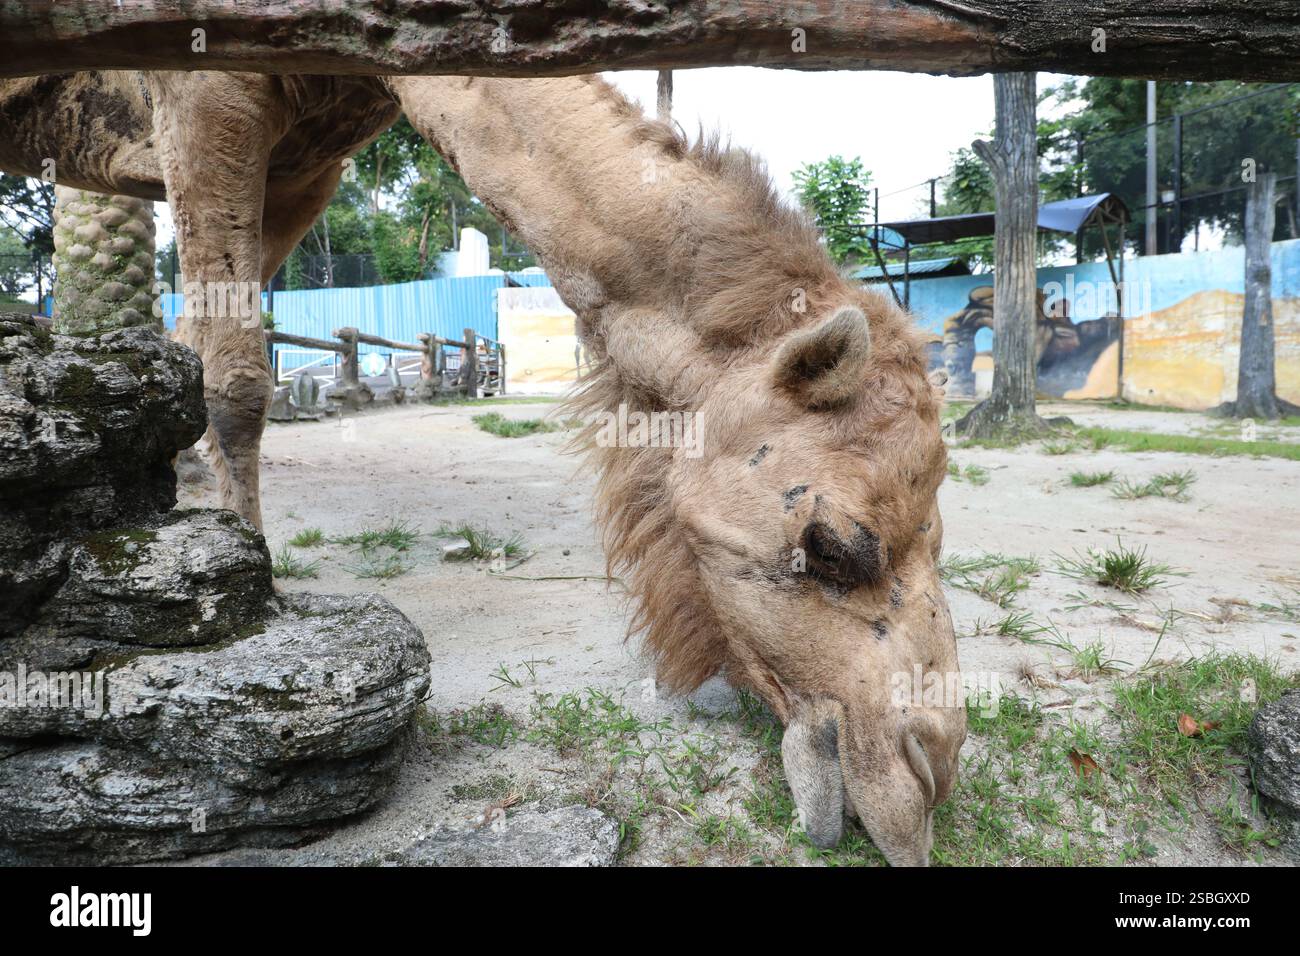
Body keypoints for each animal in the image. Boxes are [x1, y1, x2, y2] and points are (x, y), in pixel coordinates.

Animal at [0, 71, 964, 865]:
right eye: (831, 544)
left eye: (940, 534)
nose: (931, 772)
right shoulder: (203, 92)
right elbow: (234, 372)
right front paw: (237, 586)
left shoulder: (308, 161)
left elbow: (198, 345)